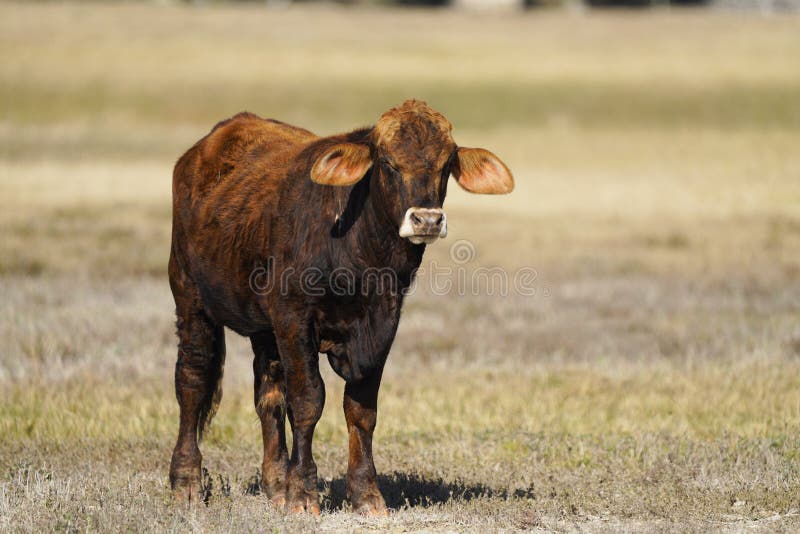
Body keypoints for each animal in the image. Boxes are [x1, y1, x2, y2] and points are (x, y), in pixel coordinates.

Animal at [168, 99, 513, 515]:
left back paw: (275, 484)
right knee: (192, 381)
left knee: (268, 395)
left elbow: (361, 410)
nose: (426, 219)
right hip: (190, 300)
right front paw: (302, 492)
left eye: (446, 164)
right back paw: (186, 482)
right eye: (388, 162)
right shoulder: (294, 320)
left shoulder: (381, 328)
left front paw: (365, 494)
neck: (362, 259)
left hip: (265, 332)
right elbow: (307, 401)